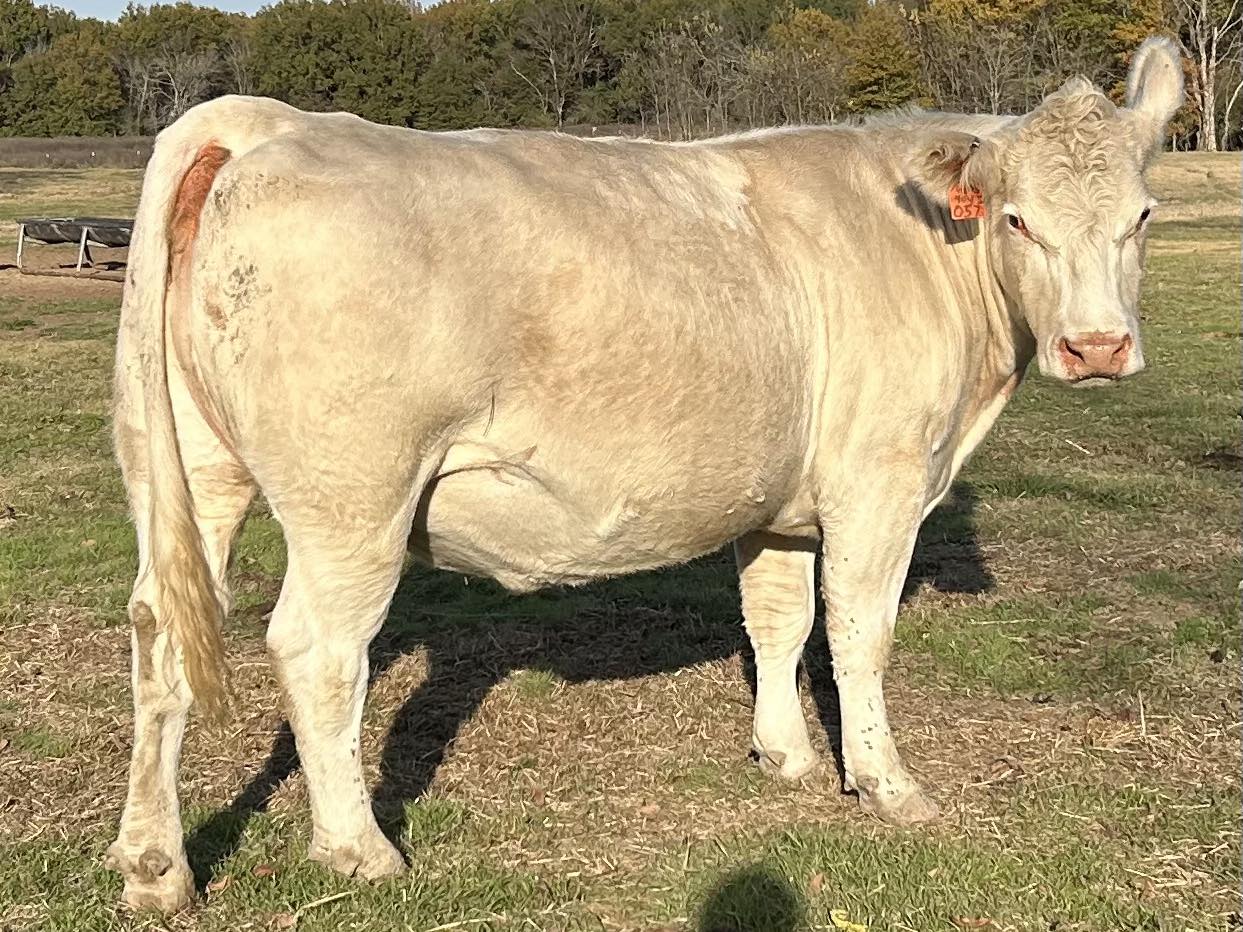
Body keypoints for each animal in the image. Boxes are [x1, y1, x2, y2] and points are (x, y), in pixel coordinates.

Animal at [104, 38, 1183, 912]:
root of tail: (272, 122)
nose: (1096, 347)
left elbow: (776, 618)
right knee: (317, 649)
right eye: (1016, 219)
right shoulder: (877, 479)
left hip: (193, 469)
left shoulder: (778, 496)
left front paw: (784, 753)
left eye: (1140, 215)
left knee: (160, 631)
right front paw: (884, 783)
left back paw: (156, 865)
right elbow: (858, 635)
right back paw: (357, 848)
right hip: (352, 496)